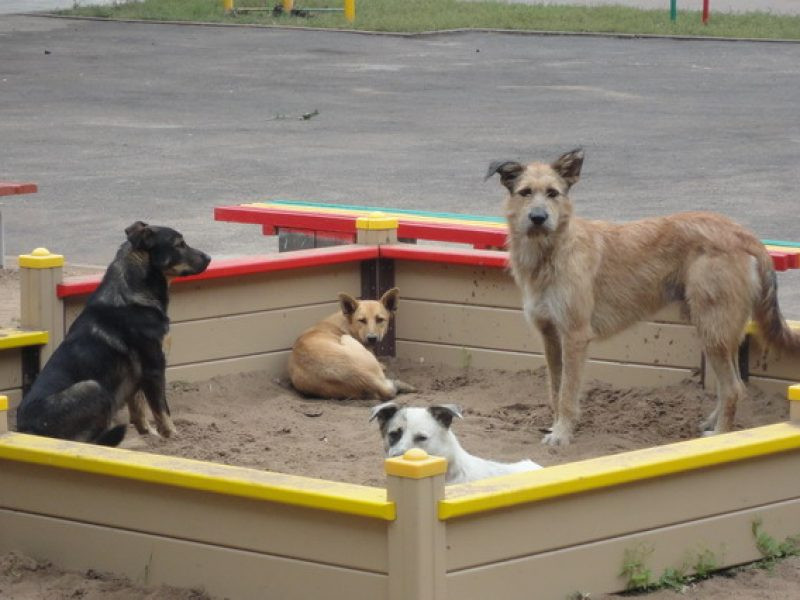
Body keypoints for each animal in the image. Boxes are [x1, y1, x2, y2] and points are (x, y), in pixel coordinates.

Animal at [16, 221, 209, 446]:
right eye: (179, 244)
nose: (209, 258)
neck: (136, 293)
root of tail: (26, 431)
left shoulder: (138, 374)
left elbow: (139, 408)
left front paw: (148, 435)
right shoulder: (154, 368)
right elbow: (162, 410)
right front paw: (174, 437)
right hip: (93, 387)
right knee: (86, 441)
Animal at [288, 288, 416, 400]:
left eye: (380, 319)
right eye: (362, 320)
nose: (372, 338)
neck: (347, 324)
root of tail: (364, 376)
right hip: (346, 338)